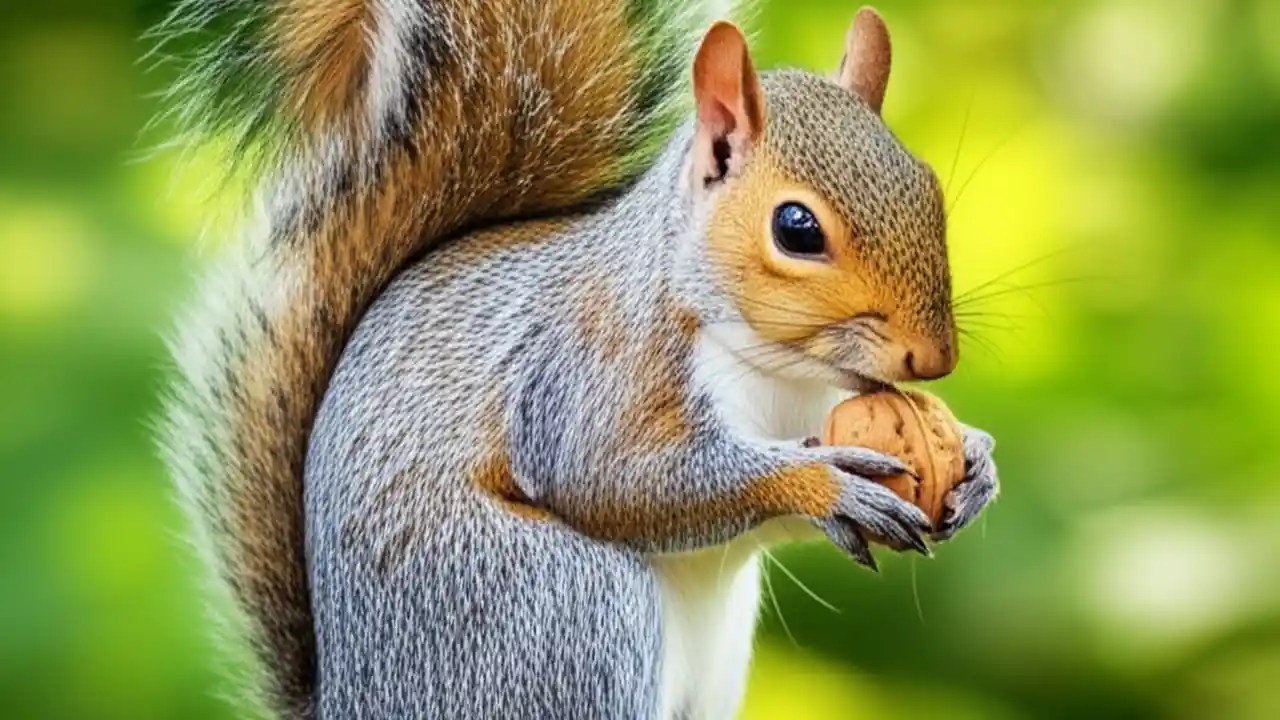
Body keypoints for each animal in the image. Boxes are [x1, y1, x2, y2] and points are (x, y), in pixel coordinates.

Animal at [157, 0, 1000, 718]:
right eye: (796, 228)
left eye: (928, 187)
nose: (934, 357)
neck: (778, 370)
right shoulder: (590, 364)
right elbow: (614, 479)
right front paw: (824, 484)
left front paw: (975, 463)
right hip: (567, 608)